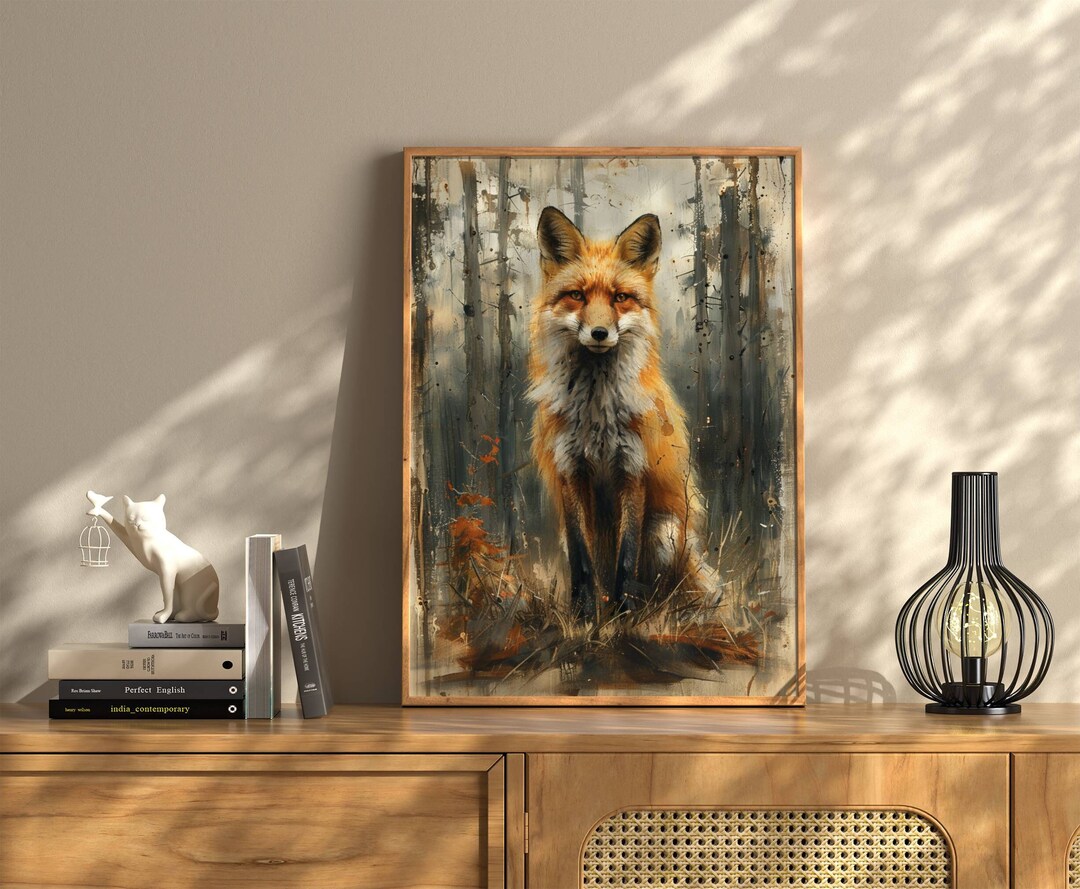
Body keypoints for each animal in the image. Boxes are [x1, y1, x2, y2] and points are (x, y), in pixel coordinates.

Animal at [528, 206, 712, 624]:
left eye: (620, 298)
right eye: (577, 296)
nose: (599, 333)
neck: (596, 410)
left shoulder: (633, 470)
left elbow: (626, 560)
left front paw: (624, 617)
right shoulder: (571, 471)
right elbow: (582, 562)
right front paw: (584, 617)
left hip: (666, 532)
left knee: (672, 587)